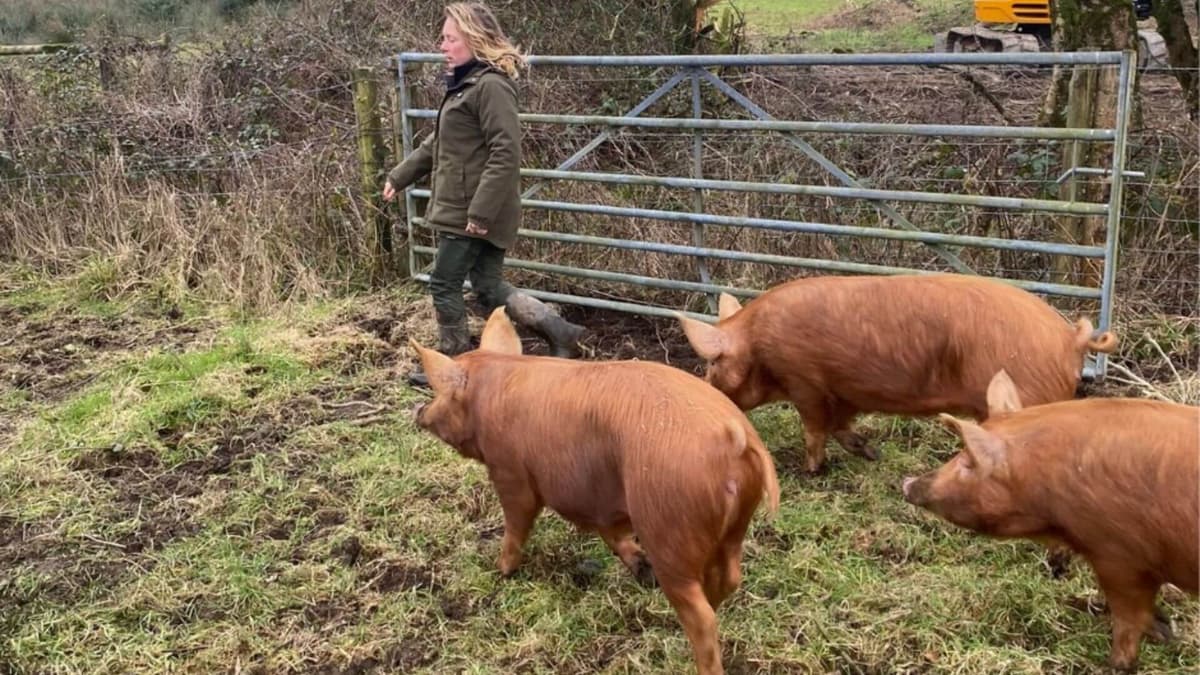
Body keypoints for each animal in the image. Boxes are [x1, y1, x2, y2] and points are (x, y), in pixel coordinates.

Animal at [409, 306, 781, 675]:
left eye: (441, 392)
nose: (419, 412)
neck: (489, 393)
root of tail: (732, 435)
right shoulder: (598, 496)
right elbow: (610, 532)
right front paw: (638, 566)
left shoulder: (510, 473)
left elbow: (517, 522)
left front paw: (501, 569)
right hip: (732, 528)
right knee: (729, 578)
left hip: (667, 527)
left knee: (700, 614)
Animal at [675, 273, 1119, 473]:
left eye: (712, 361)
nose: (707, 389)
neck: (759, 346)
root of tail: (1069, 336)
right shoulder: (841, 392)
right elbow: (840, 426)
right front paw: (871, 452)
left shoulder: (805, 381)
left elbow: (814, 429)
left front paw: (809, 471)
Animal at [903, 370, 1199, 671]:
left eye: (966, 462)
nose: (907, 484)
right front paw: (1169, 631)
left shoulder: (1118, 557)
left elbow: (1128, 622)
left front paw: (1116, 663)